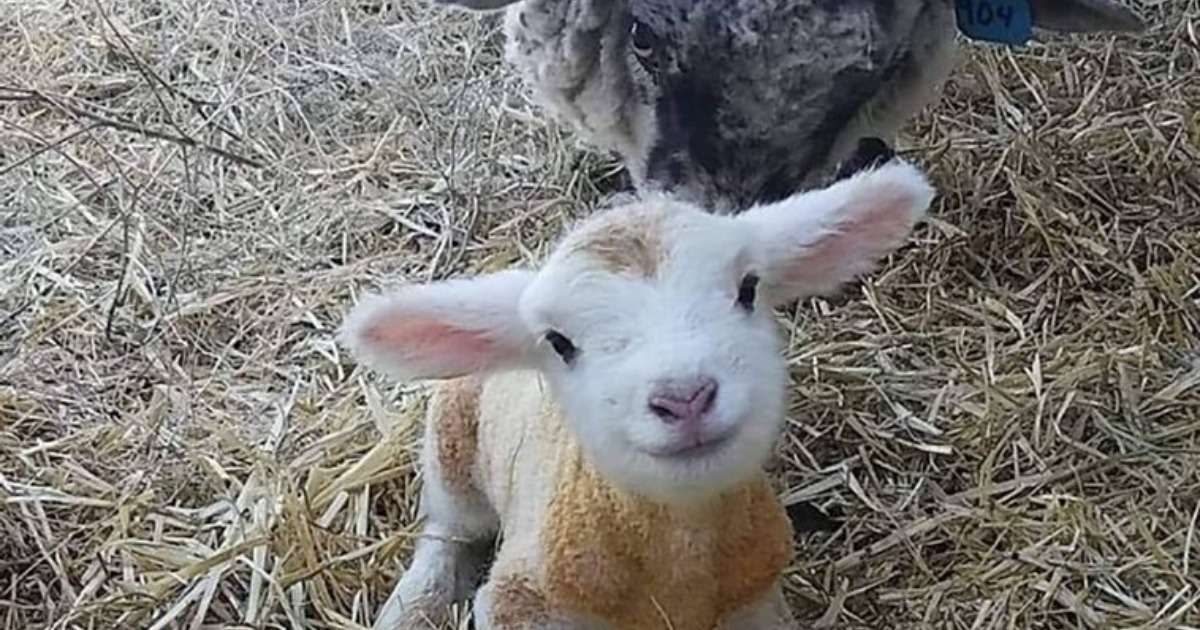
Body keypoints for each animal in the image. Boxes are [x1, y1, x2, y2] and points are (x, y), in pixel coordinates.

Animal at [338, 158, 937, 629]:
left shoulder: (757, 603)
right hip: (452, 449)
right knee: (447, 533)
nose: (685, 397)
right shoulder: (517, 603)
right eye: (559, 342)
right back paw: (410, 607)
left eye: (748, 289)